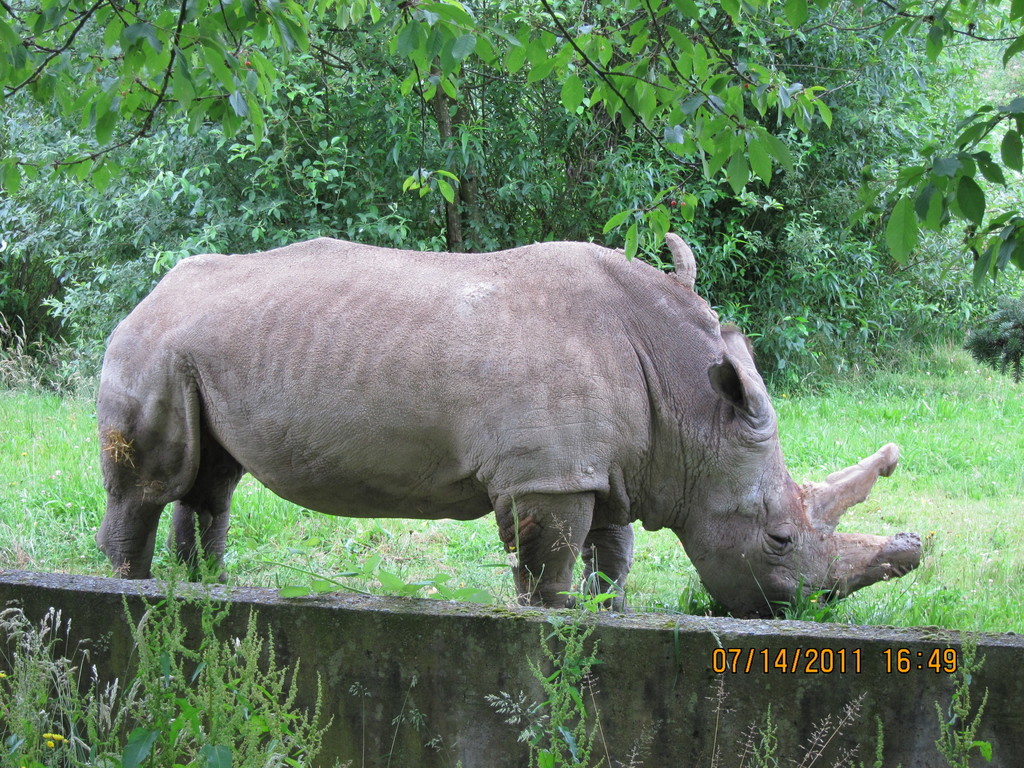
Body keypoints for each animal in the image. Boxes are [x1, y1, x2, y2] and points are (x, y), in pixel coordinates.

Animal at [95, 234, 921, 617]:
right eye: (778, 538)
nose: (809, 607)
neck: (691, 404)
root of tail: (149, 291)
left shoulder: (609, 465)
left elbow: (612, 550)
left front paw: (609, 613)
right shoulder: (548, 476)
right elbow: (551, 556)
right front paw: (551, 617)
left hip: (198, 347)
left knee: (211, 479)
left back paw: (207, 588)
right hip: (150, 346)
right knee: (154, 478)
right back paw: (131, 586)